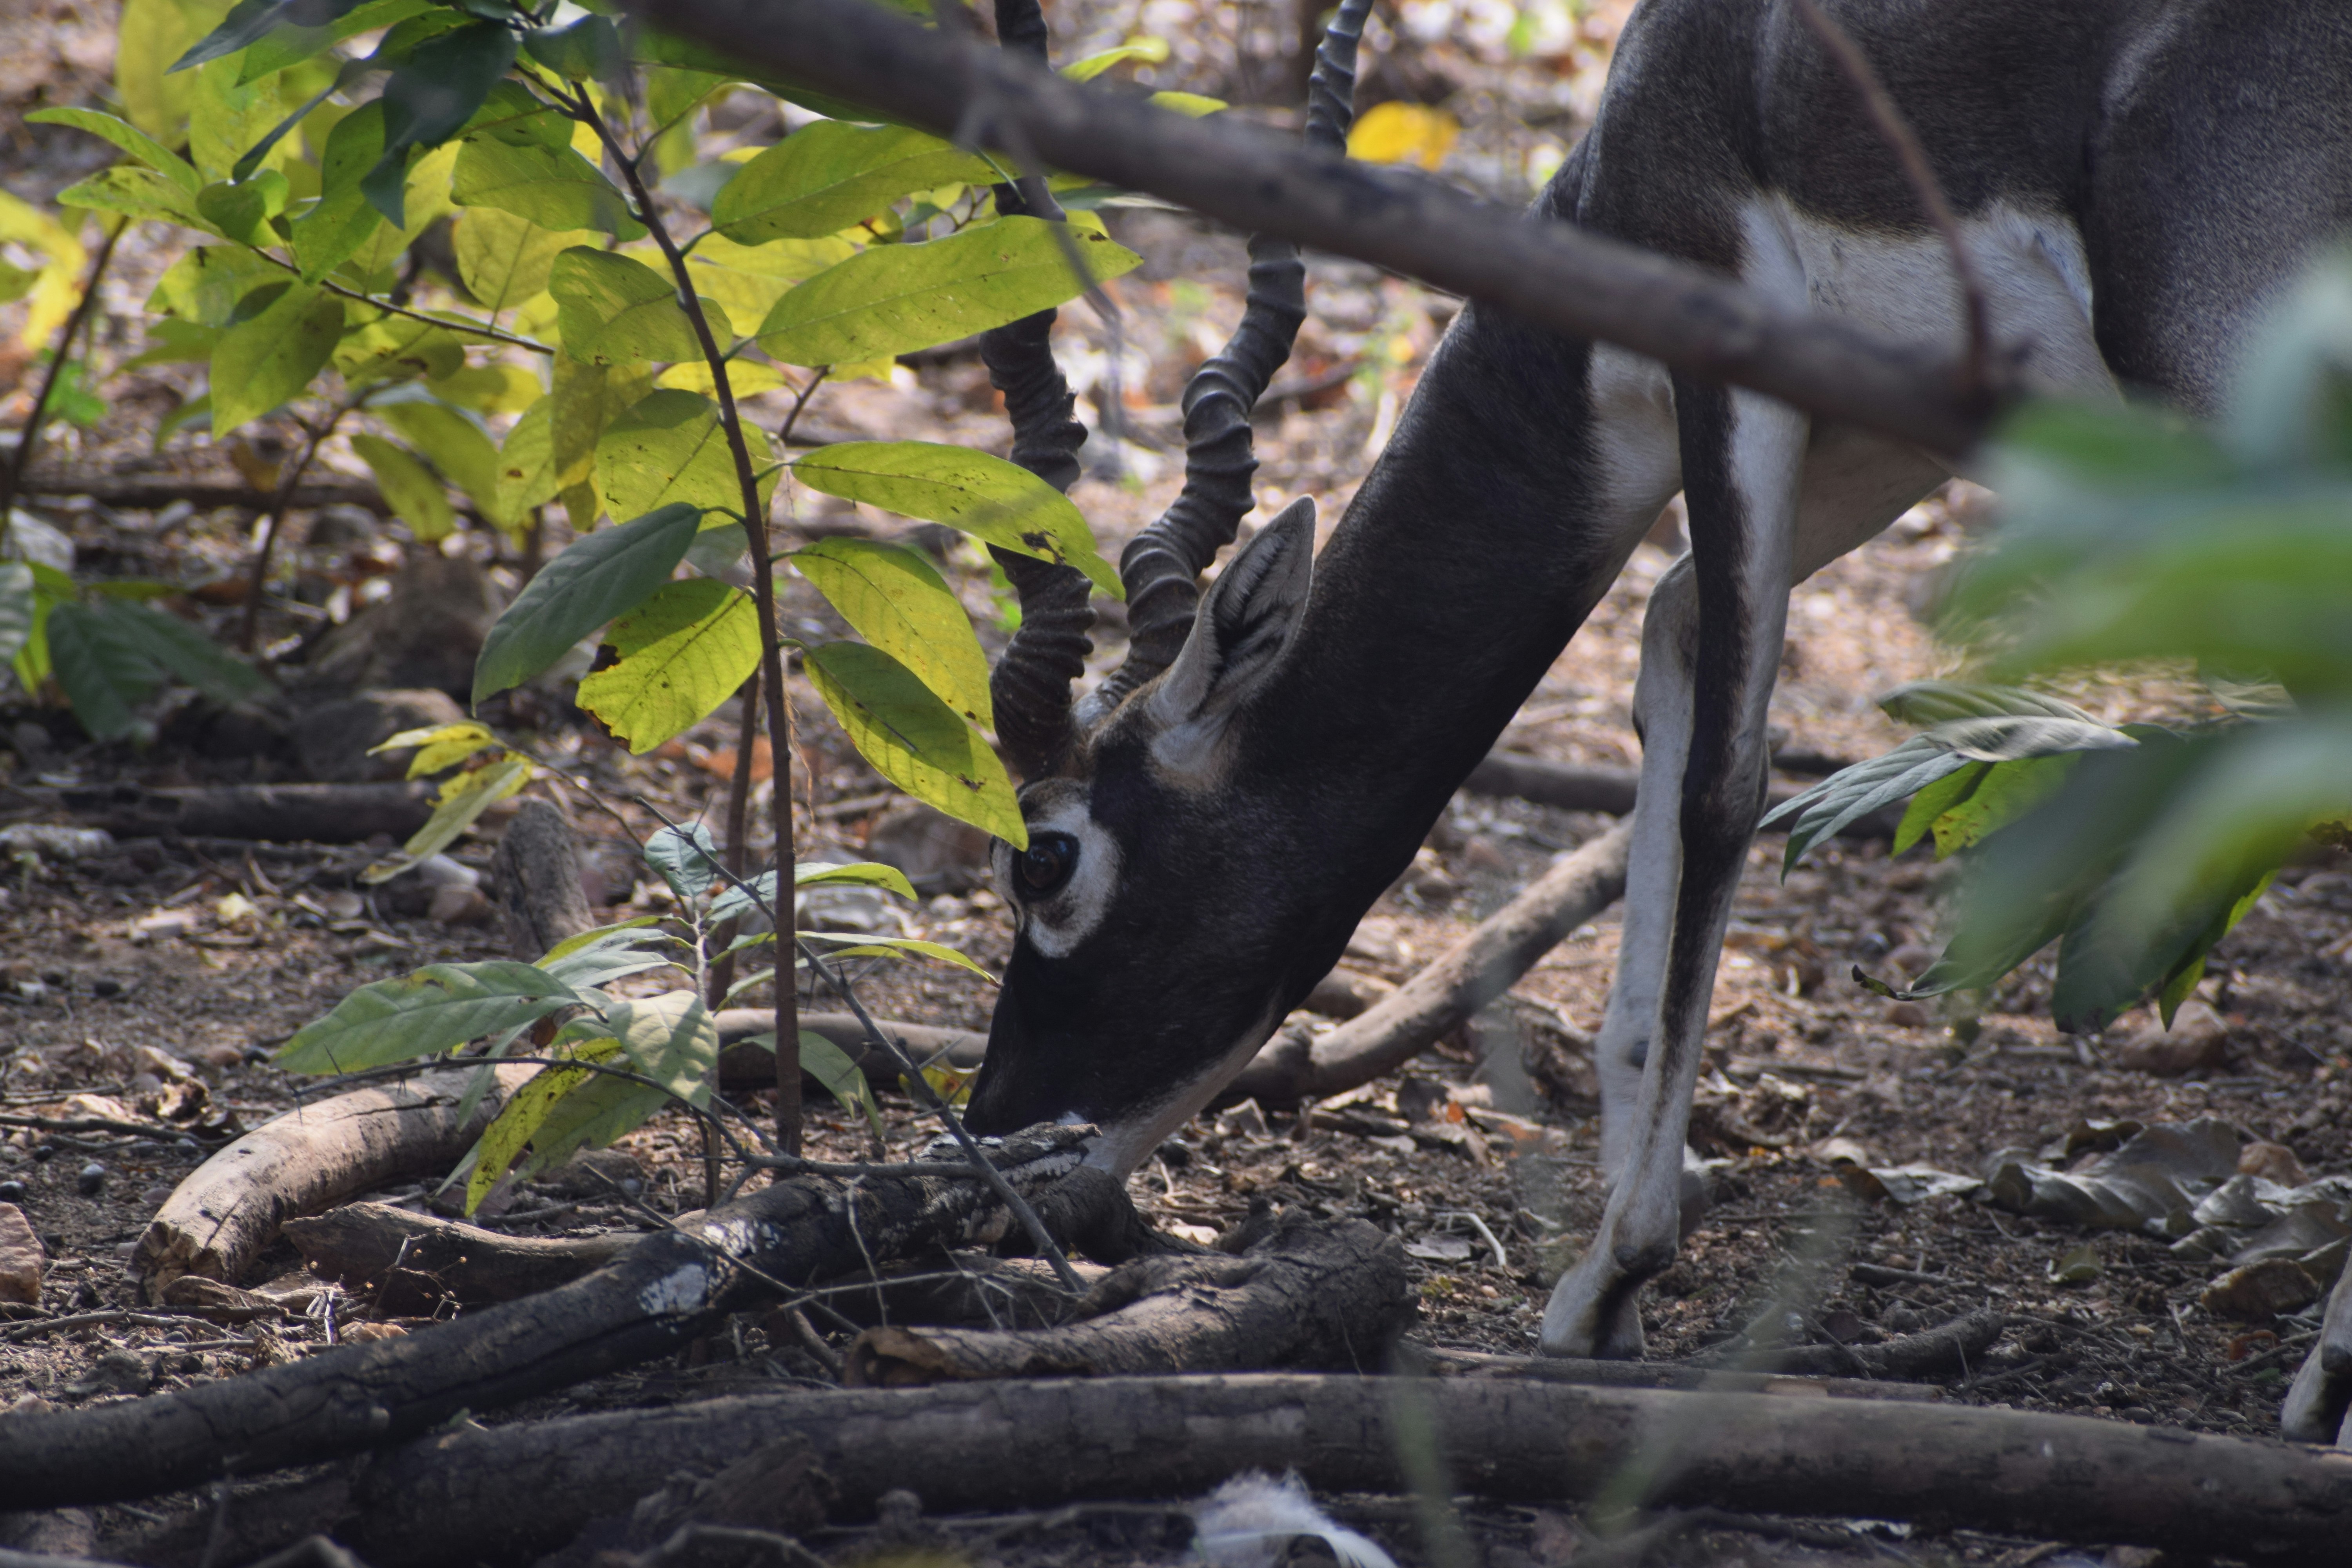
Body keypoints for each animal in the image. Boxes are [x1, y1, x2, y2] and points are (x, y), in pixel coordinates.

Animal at [950, 0, 2352, 1367]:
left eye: (1045, 859)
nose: (995, 1149)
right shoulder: (1887, 425)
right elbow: (1669, 649)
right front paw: (1621, 1262)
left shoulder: (1724, 351)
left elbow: (1722, 789)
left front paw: (1610, 1272)